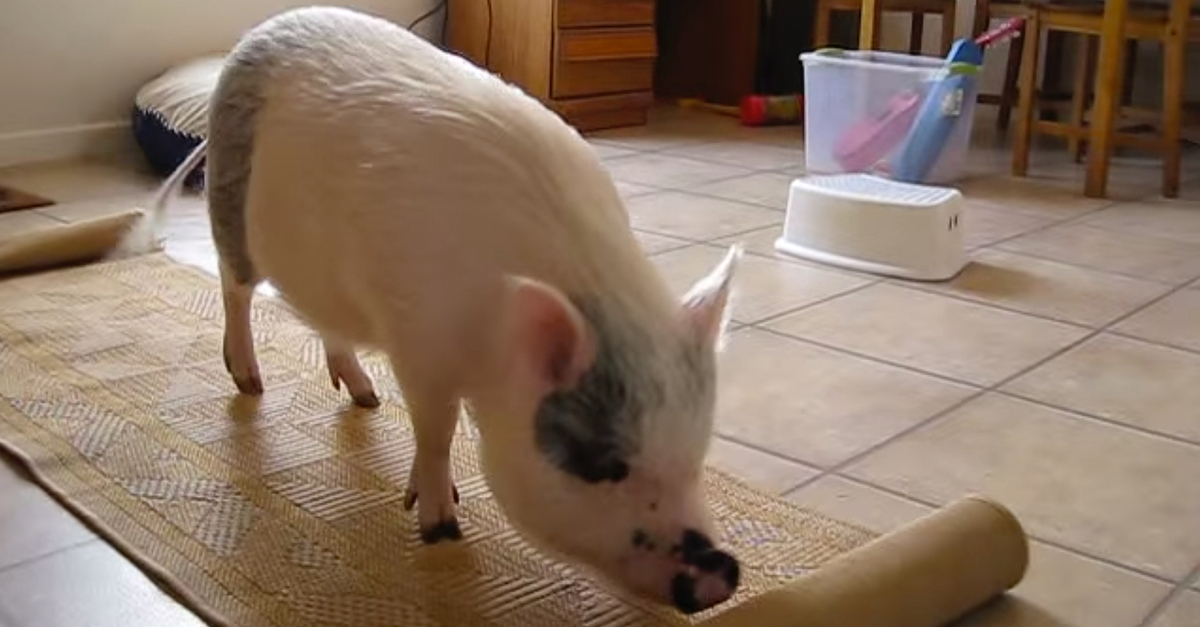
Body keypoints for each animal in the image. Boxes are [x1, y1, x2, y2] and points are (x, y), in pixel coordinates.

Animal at [120, 5, 744, 614]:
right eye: (603, 463)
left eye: (697, 452)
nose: (721, 575)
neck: (490, 339)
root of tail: (254, 38)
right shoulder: (421, 346)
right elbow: (436, 430)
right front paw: (441, 528)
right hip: (231, 209)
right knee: (235, 288)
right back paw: (252, 383)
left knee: (328, 323)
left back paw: (365, 398)